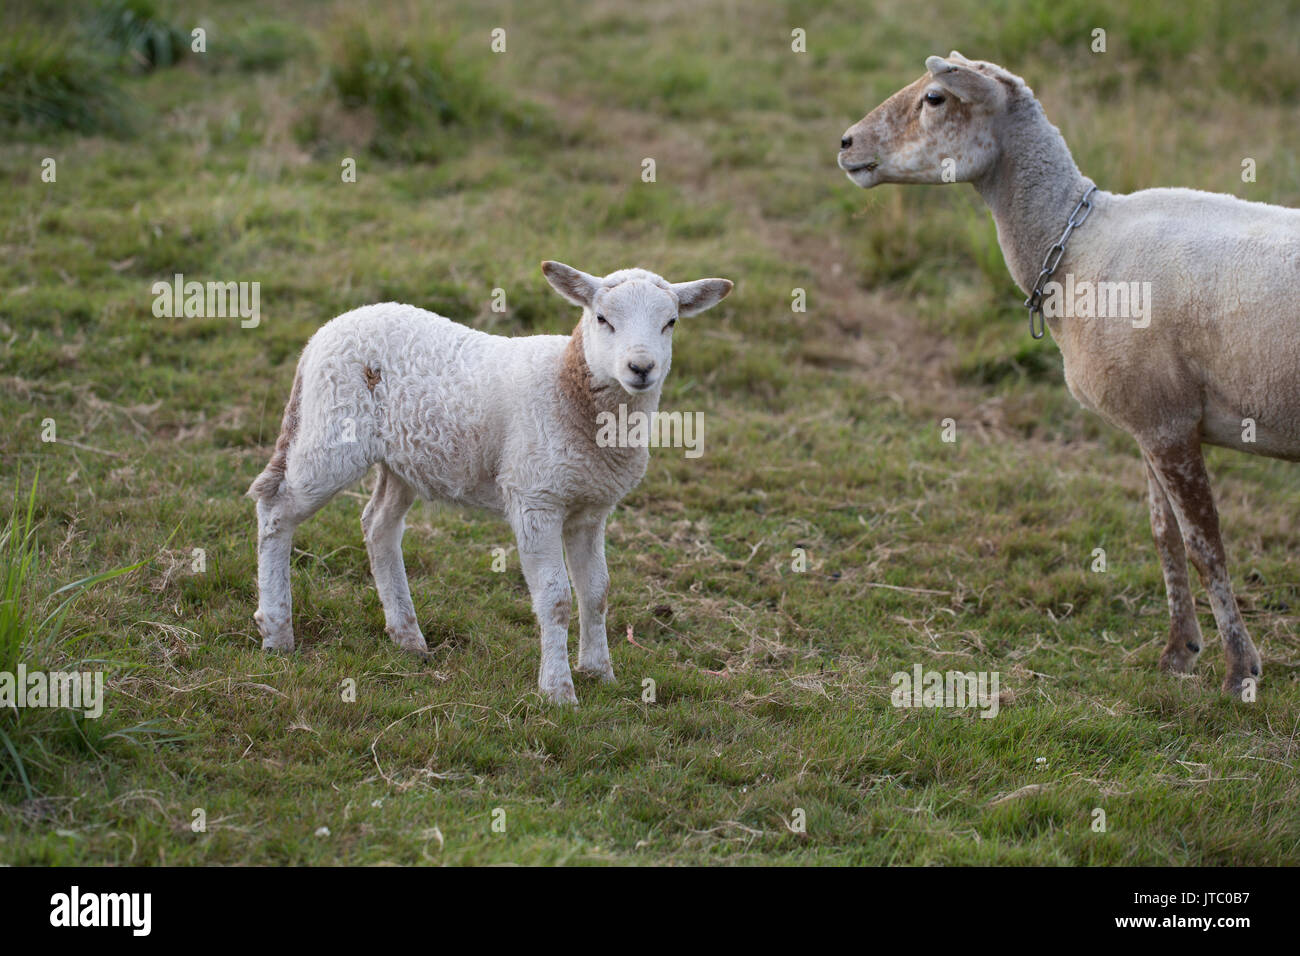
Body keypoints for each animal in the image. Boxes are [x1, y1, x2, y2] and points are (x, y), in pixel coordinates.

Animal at [246, 262, 733, 705]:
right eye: (602, 319)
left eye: (670, 322)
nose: (641, 367)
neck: (569, 386)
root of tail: (323, 334)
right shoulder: (535, 497)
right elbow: (556, 598)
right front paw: (558, 692)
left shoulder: (591, 506)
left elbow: (596, 593)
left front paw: (599, 672)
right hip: (331, 432)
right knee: (276, 507)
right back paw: (277, 631)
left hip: (406, 458)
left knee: (378, 524)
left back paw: (408, 638)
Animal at [838, 52, 1300, 695]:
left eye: (934, 98)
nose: (845, 143)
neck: (1075, 242)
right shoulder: (1154, 420)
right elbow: (1166, 539)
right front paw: (1178, 654)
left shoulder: (1168, 424)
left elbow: (1206, 546)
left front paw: (1239, 673)